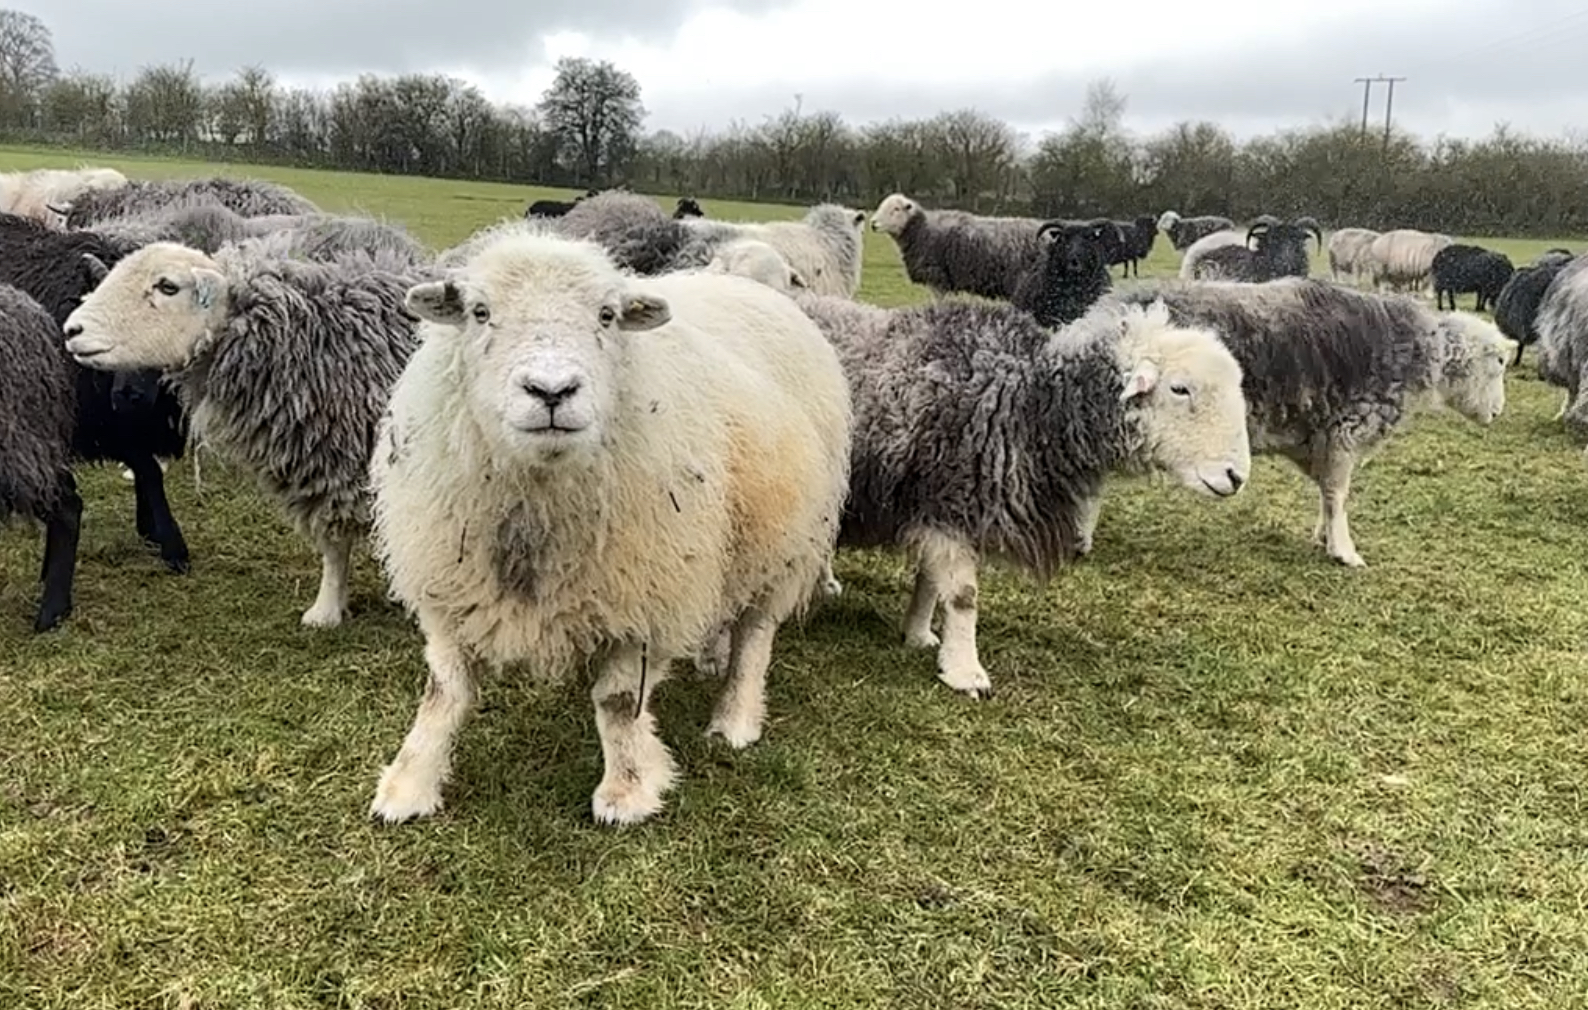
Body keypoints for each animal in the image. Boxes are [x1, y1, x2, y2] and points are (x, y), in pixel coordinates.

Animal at [365, 228, 851, 825]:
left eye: (606, 316)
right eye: (480, 312)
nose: (552, 391)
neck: (540, 501)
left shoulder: (643, 590)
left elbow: (618, 702)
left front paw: (628, 791)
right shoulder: (451, 583)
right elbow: (444, 692)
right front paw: (409, 784)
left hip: (787, 541)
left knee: (755, 636)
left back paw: (735, 718)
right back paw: (711, 655)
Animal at [794, 292, 1251, 698]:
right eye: (1180, 389)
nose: (1237, 476)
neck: (1030, 402)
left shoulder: (941, 507)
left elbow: (930, 583)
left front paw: (919, 635)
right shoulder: (950, 500)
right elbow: (963, 597)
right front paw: (966, 673)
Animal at [1097, 278, 1513, 567]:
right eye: (1499, 363)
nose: (1497, 413)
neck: (1416, 353)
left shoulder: (1322, 441)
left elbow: (1328, 494)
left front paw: (1324, 536)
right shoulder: (1344, 433)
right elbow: (1337, 495)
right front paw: (1344, 552)